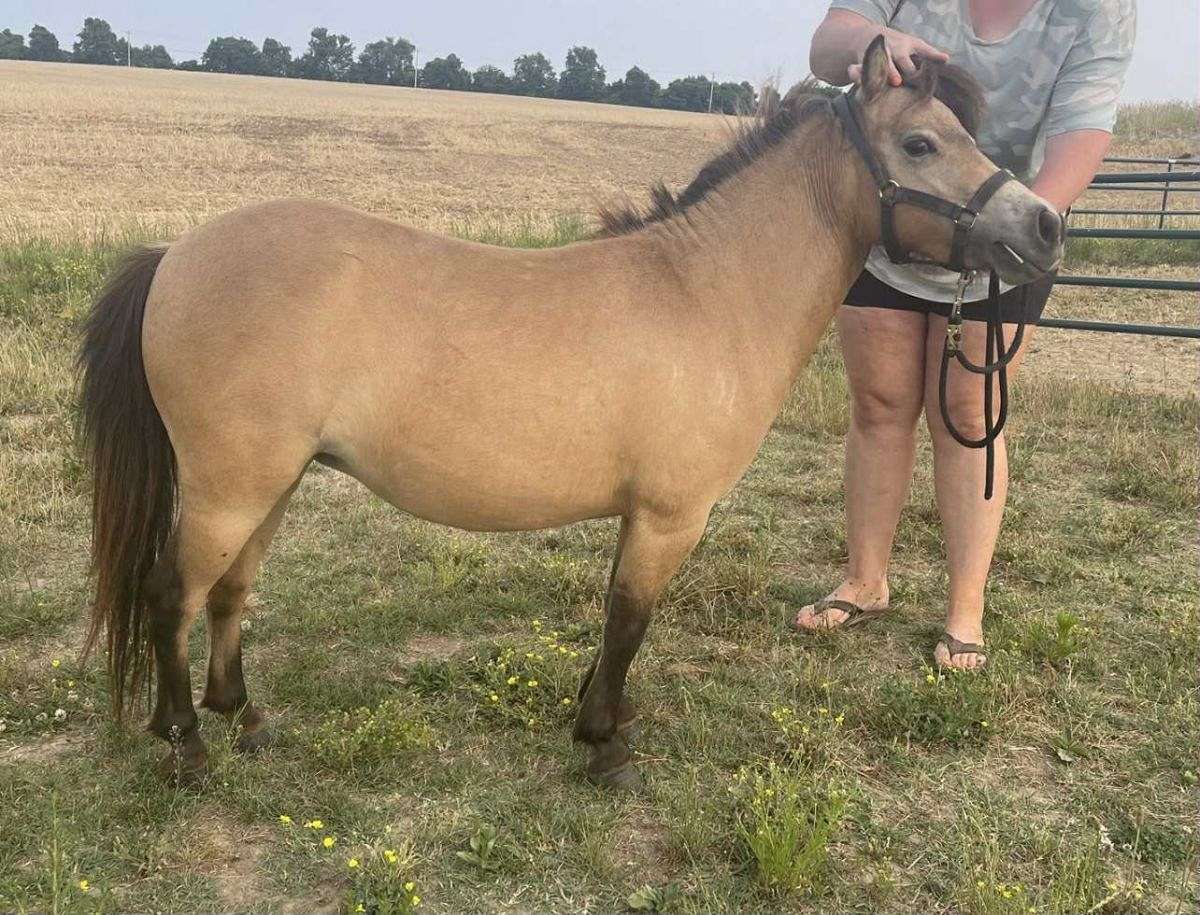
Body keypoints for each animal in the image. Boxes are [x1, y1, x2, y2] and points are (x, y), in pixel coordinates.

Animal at [78, 38, 1062, 788]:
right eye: (922, 143)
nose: (1046, 224)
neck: (706, 291)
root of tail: (176, 254)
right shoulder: (669, 516)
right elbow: (629, 619)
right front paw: (605, 746)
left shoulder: (645, 516)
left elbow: (618, 620)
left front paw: (602, 720)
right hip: (230, 487)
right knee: (170, 594)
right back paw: (187, 747)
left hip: (267, 485)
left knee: (228, 591)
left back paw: (241, 718)